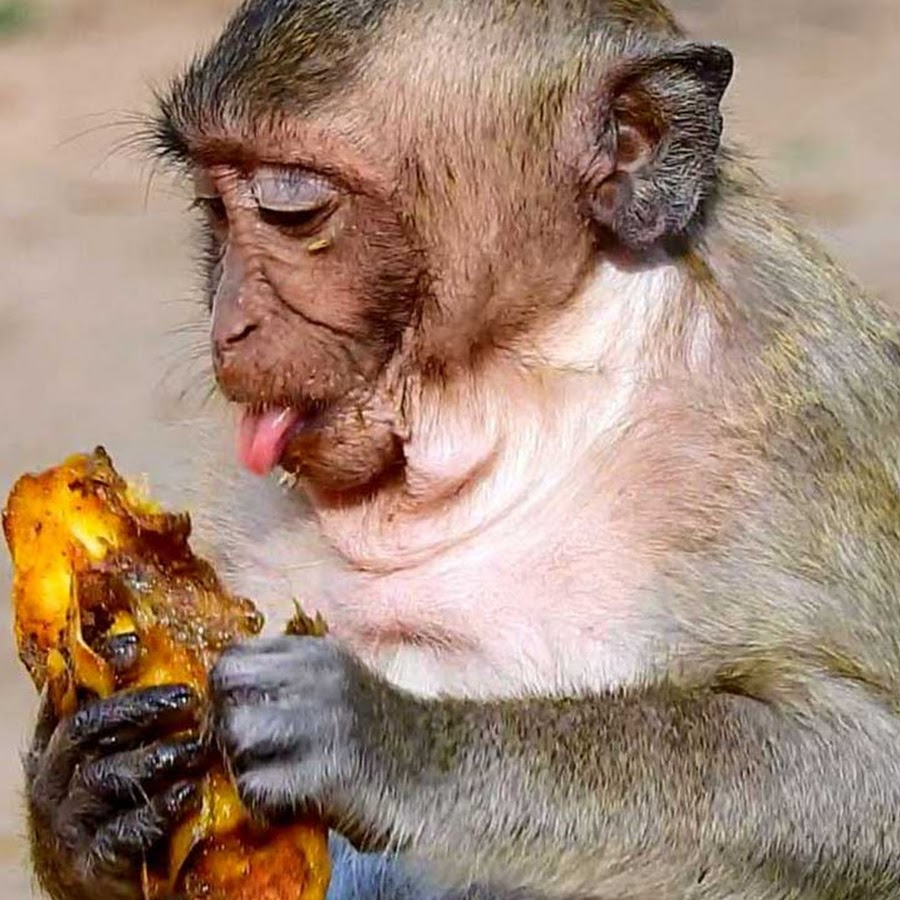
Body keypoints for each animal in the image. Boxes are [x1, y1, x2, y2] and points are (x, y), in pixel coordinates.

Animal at [20, 0, 900, 897]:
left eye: (292, 210)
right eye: (213, 207)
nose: (227, 324)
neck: (512, 401)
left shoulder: (786, 436)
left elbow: (866, 780)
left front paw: (386, 738)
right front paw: (84, 794)